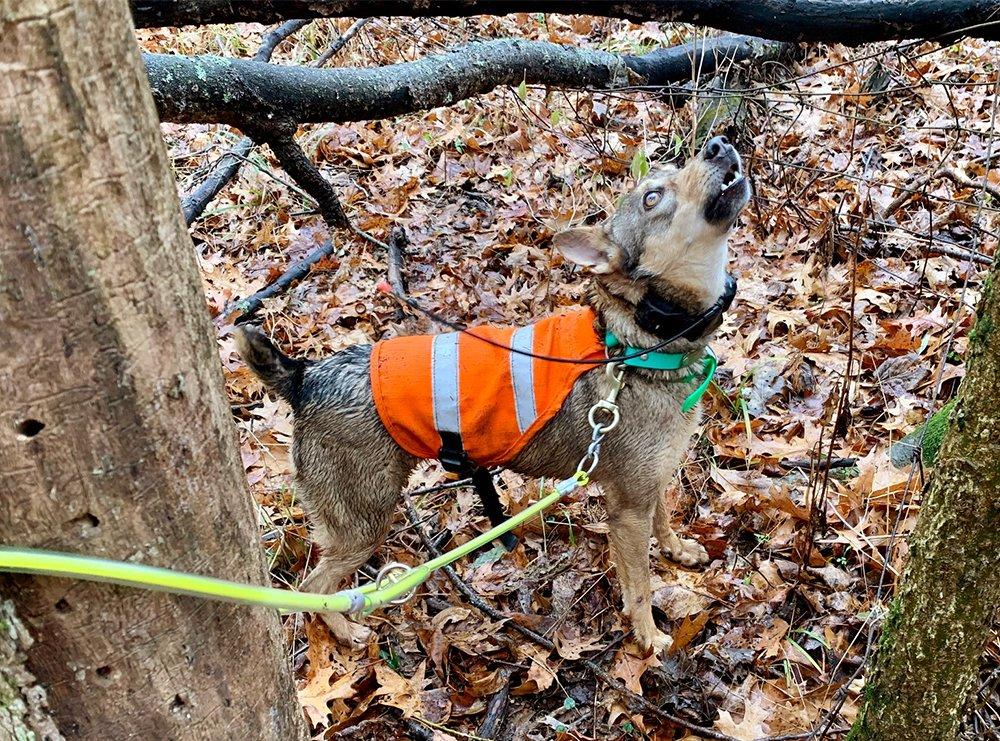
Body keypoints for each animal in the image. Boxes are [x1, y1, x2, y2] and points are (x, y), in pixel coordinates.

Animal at [236, 137, 752, 652]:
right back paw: (345, 628)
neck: (641, 343)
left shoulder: (650, 486)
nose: (718, 144)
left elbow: (664, 520)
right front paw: (649, 637)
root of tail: (303, 376)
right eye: (652, 197)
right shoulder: (626, 511)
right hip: (363, 522)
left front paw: (677, 550)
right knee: (313, 588)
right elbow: (640, 586)